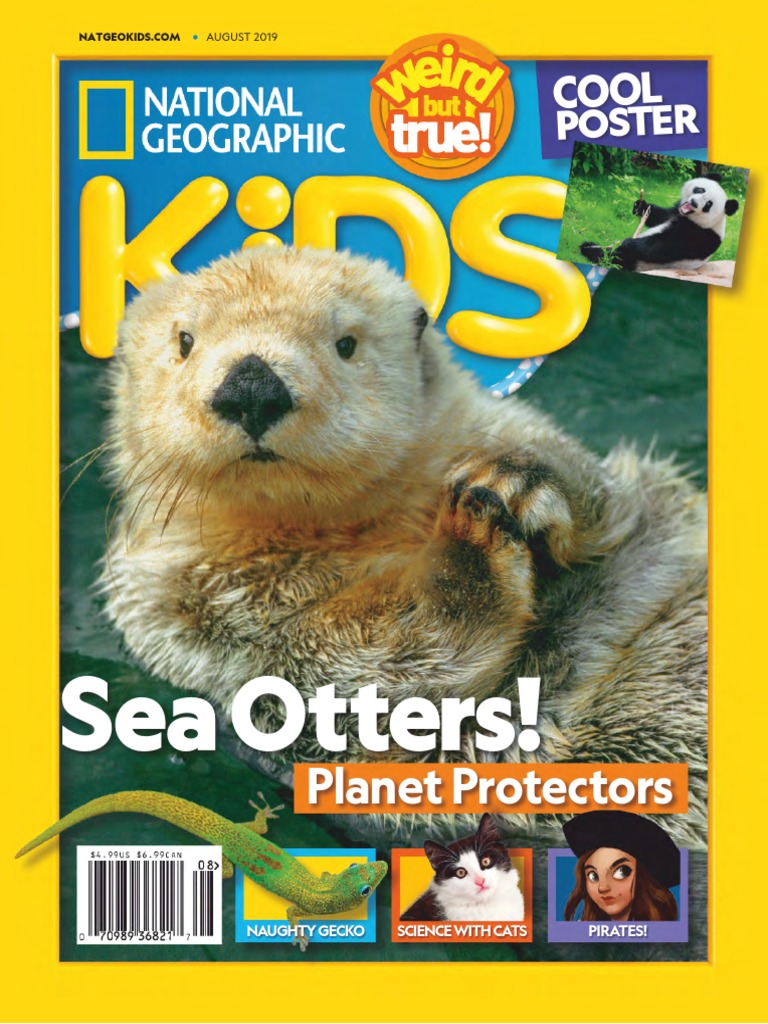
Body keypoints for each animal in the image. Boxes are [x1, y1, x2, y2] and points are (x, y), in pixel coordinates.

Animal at [103, 245, 707, 847]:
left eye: (346, 343)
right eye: (185, 341)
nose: (251, 387)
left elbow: (609, 500)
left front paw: (516, 478)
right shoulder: (192, 616)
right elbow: (371, 669)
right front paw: (468, 542)